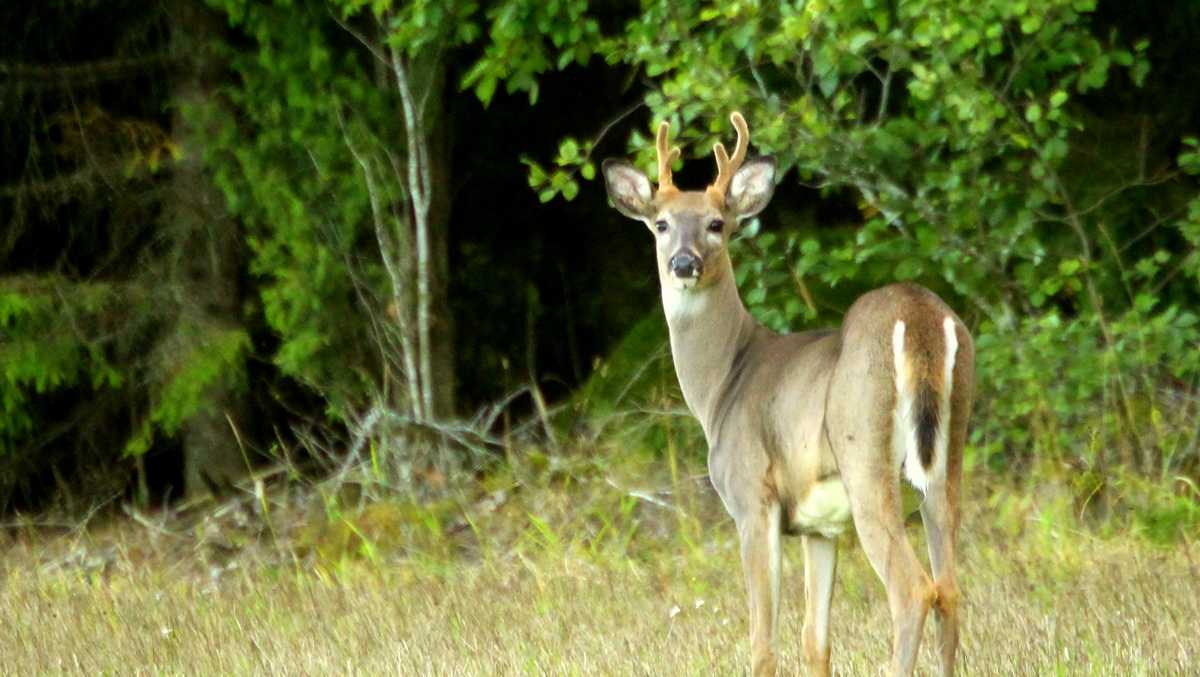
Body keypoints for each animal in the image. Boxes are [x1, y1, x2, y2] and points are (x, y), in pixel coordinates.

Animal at [601, 112, 975, 676]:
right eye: (661, 223)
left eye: (717, 223)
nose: (684, 263)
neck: (722, 385)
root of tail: (922, 317)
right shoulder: (820, 527)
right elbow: (814, 642)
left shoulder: (752, 497)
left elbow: (763, 643)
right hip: (947, 464)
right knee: (950, 590)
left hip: (865, 455)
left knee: (913, 591)